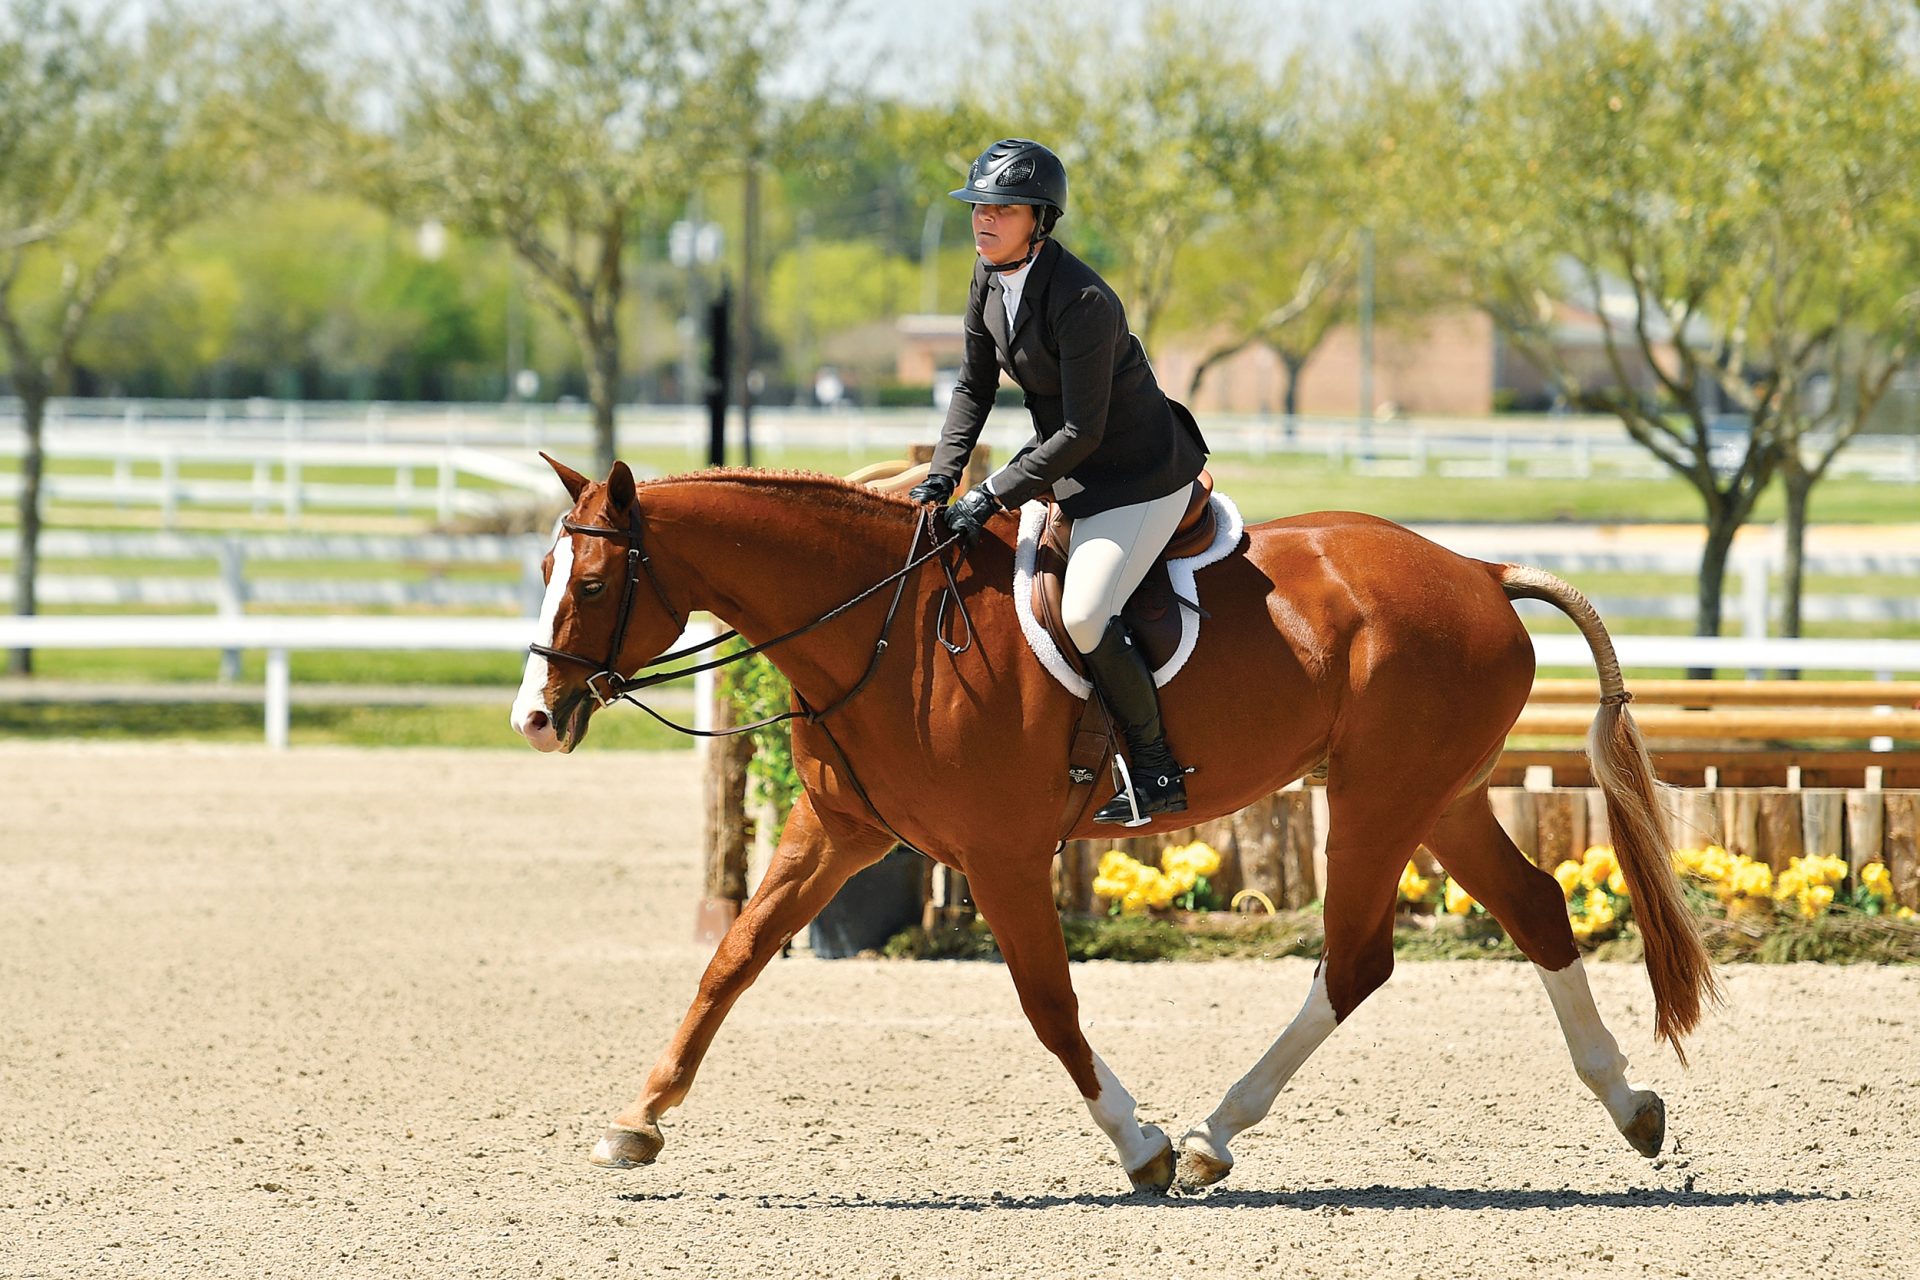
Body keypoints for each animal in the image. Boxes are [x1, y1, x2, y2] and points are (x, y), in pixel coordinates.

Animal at [510, 455, 1717, 1195]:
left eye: (598, 580)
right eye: (544, 570)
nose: (536, 717)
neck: (882, 625)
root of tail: (1479, 568)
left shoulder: (999, 854)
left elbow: (1051, 1007)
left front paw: (1139, 1145)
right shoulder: (840, 832)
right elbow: (734, 958)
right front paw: (639, 1119)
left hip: (1379, 800)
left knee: (1357, 959)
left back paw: (1212, 1136)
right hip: (1440, 799)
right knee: (1538, 910)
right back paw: (1632, 1105)